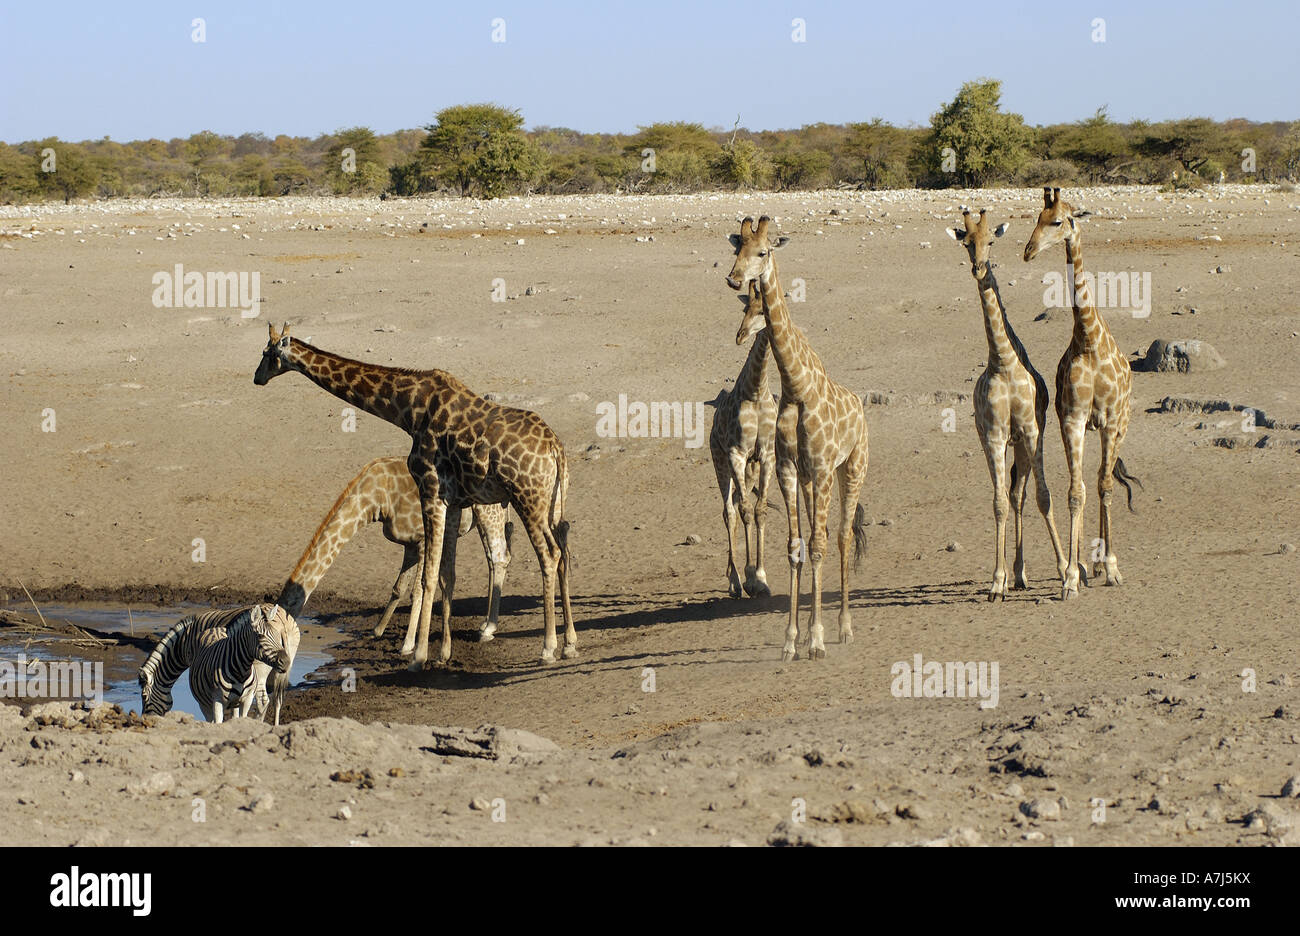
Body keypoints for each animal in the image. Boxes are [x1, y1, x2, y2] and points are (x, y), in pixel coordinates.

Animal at [275, 456, 513, 655]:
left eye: (274, 634)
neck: (375, 499)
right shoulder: (409, 544)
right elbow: (399, 587)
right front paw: (377, 630)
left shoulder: (422, 538)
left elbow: (418, 590)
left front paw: (407, 645)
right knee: (493, 558)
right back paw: (484, 624)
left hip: (487, 509)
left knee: (500, 557)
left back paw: (488, 630)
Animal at [726, 217, 869, 661]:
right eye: (736, 248)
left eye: (763, 251)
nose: (734, 279)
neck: (796, 387)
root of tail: (860, 405)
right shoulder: (789, 468)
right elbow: (796, 547)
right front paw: (792, 640)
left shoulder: (822, 467)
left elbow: (820, 545)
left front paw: (818, 639)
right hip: (810, 481)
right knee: (815, 538)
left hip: (852, 468)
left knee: (840, 536)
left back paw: (844, 627)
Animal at [946, 208, 1067, 600]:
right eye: (967, 243)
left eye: (991, 241)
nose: (979, 268)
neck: (1003, 360)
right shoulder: (995, 436)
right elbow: (998, 502)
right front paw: (996, 581)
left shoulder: (1030, 430)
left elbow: (1044, 496)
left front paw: (1066, 571)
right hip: (995, 444)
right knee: (1009, 496)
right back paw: (1014, 575)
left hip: (1025, 445)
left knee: (1021, 494)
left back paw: (1024, 574)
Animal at [1023, 187, 1141, 599]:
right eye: (1036, 218)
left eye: (1059, 221)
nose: (1028, 250)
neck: (1088, 340)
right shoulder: (1072, 419)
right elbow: (1077, 492)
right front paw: (1072, 577)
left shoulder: (1111, 422)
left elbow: (1104, 486)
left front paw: (1113, 567)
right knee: (1087, 485)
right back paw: (1088, 565)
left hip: (1118, 428)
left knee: (1105, 483)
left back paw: (1104, 564)